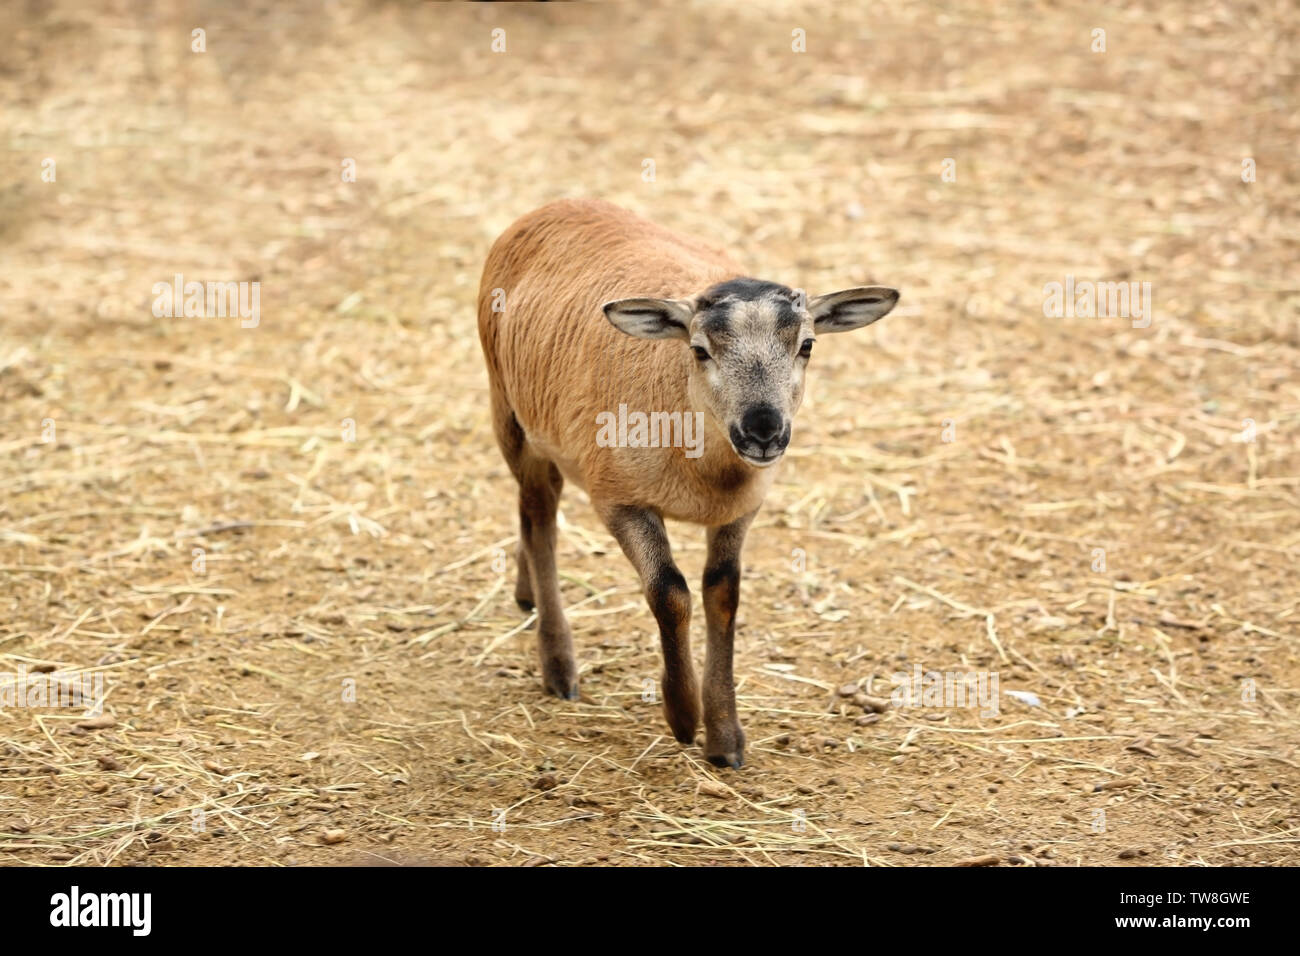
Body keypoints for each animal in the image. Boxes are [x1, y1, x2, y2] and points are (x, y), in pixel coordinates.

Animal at [477, 199, 899, 767]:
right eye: (699, 350)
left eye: (807, 345)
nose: (763, 430)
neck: (706, 470)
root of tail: (559, 203)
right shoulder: (619, 498)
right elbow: (669, 591)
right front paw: (682, 714)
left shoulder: (740, 509)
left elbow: (723, 593)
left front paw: (725, 739)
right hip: (510, 413)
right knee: (538, 519)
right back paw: (558, 664)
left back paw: (526, 594)